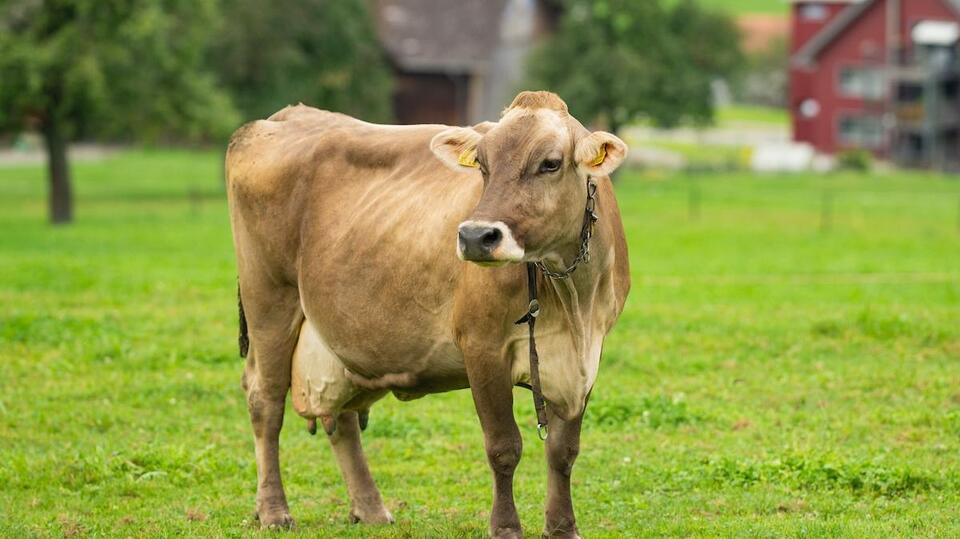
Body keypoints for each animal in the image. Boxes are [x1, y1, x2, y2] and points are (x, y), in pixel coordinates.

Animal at [226, 91, 630, 538]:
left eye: (551, 163)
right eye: (483, 165)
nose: (475, 236)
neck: (574, 299)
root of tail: (283, 116)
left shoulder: (585, 358)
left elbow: (563, 450)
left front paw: (562, 528)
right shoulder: (482, 346)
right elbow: (504, 447)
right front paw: (506, 527)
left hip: (341, 333)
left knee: (341, 416)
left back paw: (370, 508)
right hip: (269, 301)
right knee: (265, 402)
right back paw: (274, 510)